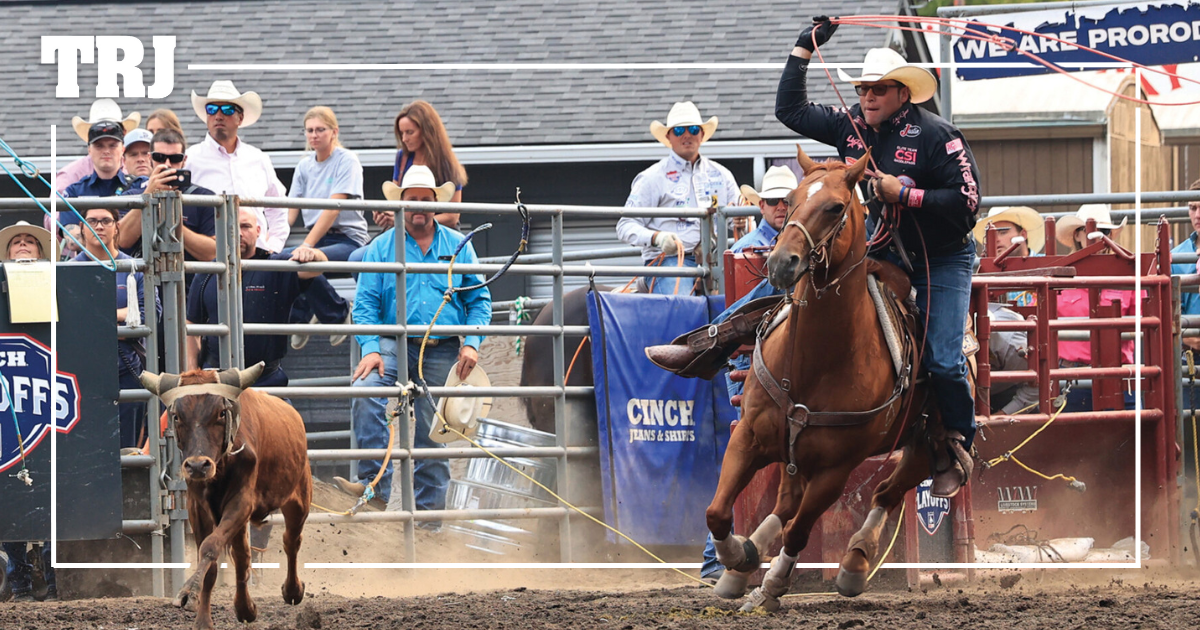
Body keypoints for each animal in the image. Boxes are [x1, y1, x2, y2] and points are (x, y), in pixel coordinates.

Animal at [705, 145, 938, 611]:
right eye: (791, 200)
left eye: (834, 208)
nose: (780, 263)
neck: (815, 361)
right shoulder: (748, 437)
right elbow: (718, 512)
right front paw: (737, 557)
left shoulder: (836, 468)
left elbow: (799, 530)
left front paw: (772, 585)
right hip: (792, 453)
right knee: (784, 504)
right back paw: (742, 568)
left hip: (927, 438)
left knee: (885, 492)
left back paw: (853, 564)